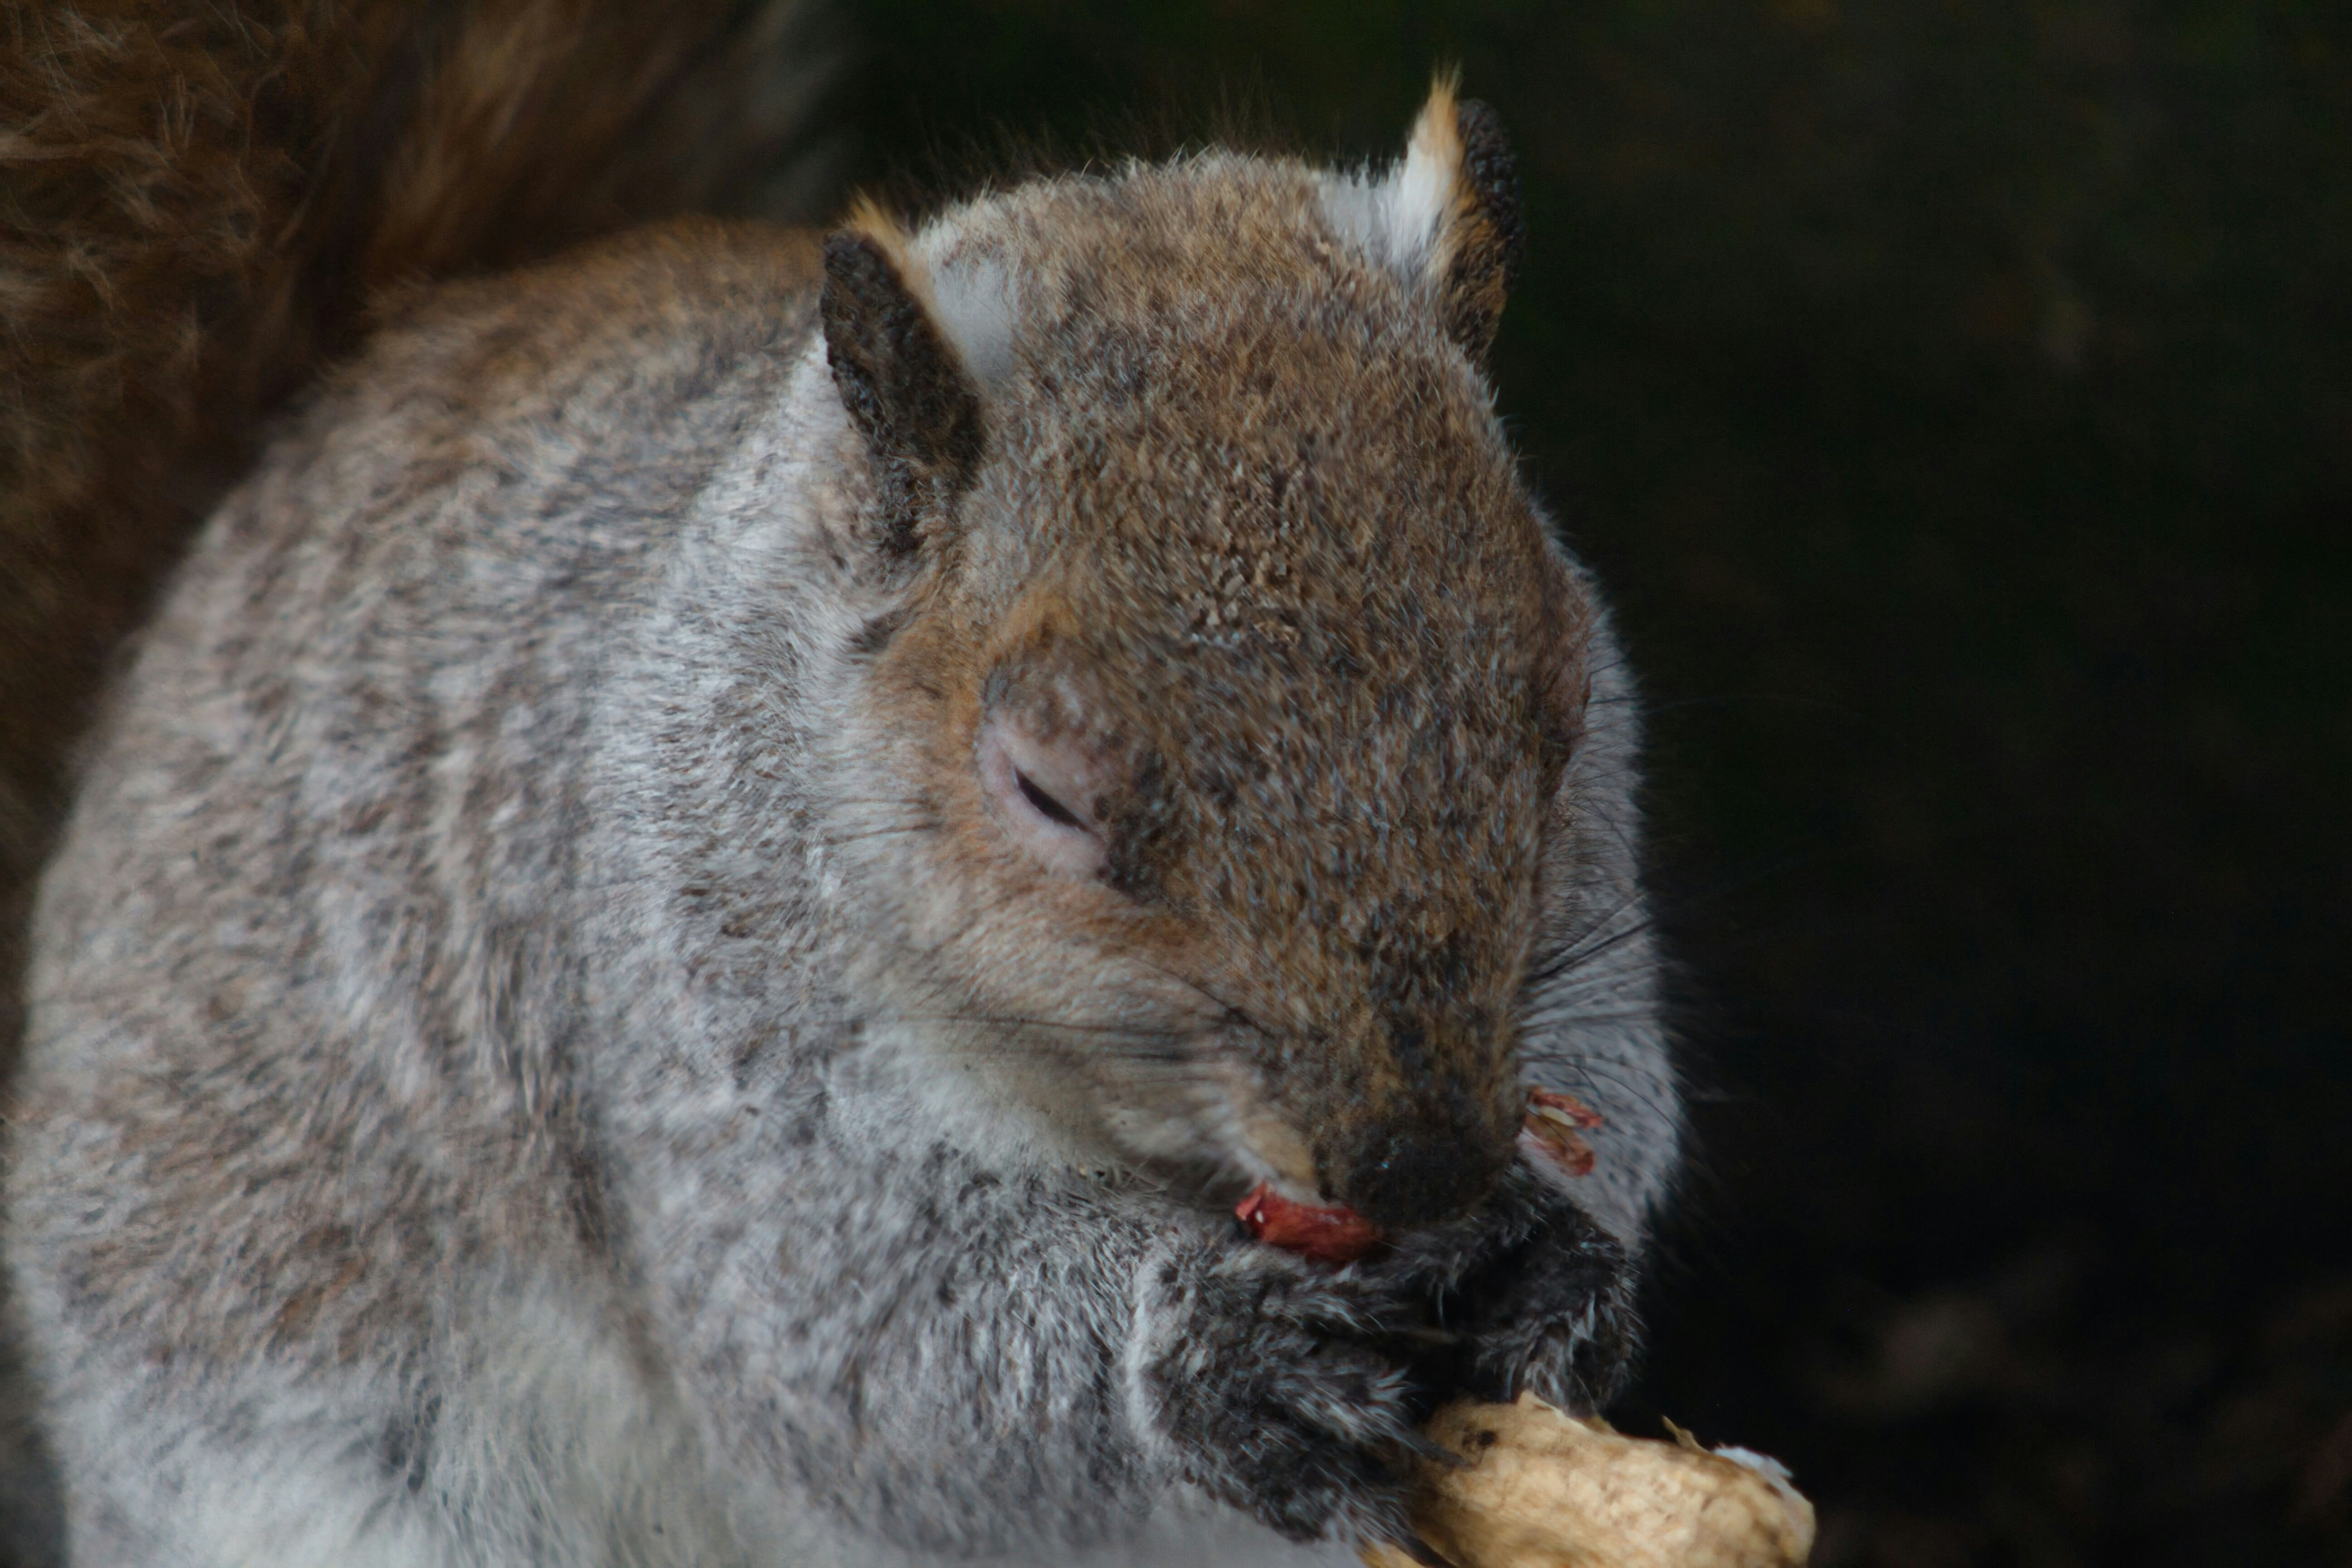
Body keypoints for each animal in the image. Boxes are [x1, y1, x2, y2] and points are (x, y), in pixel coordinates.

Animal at [0, 5, 1681, 1565]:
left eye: (1560, 707)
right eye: (1045, 790)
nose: (1420, 1160)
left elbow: (1619, 1078)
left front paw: (1555, 1257)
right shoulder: (688, 993)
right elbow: (842, 1334)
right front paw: (1212, 1352)